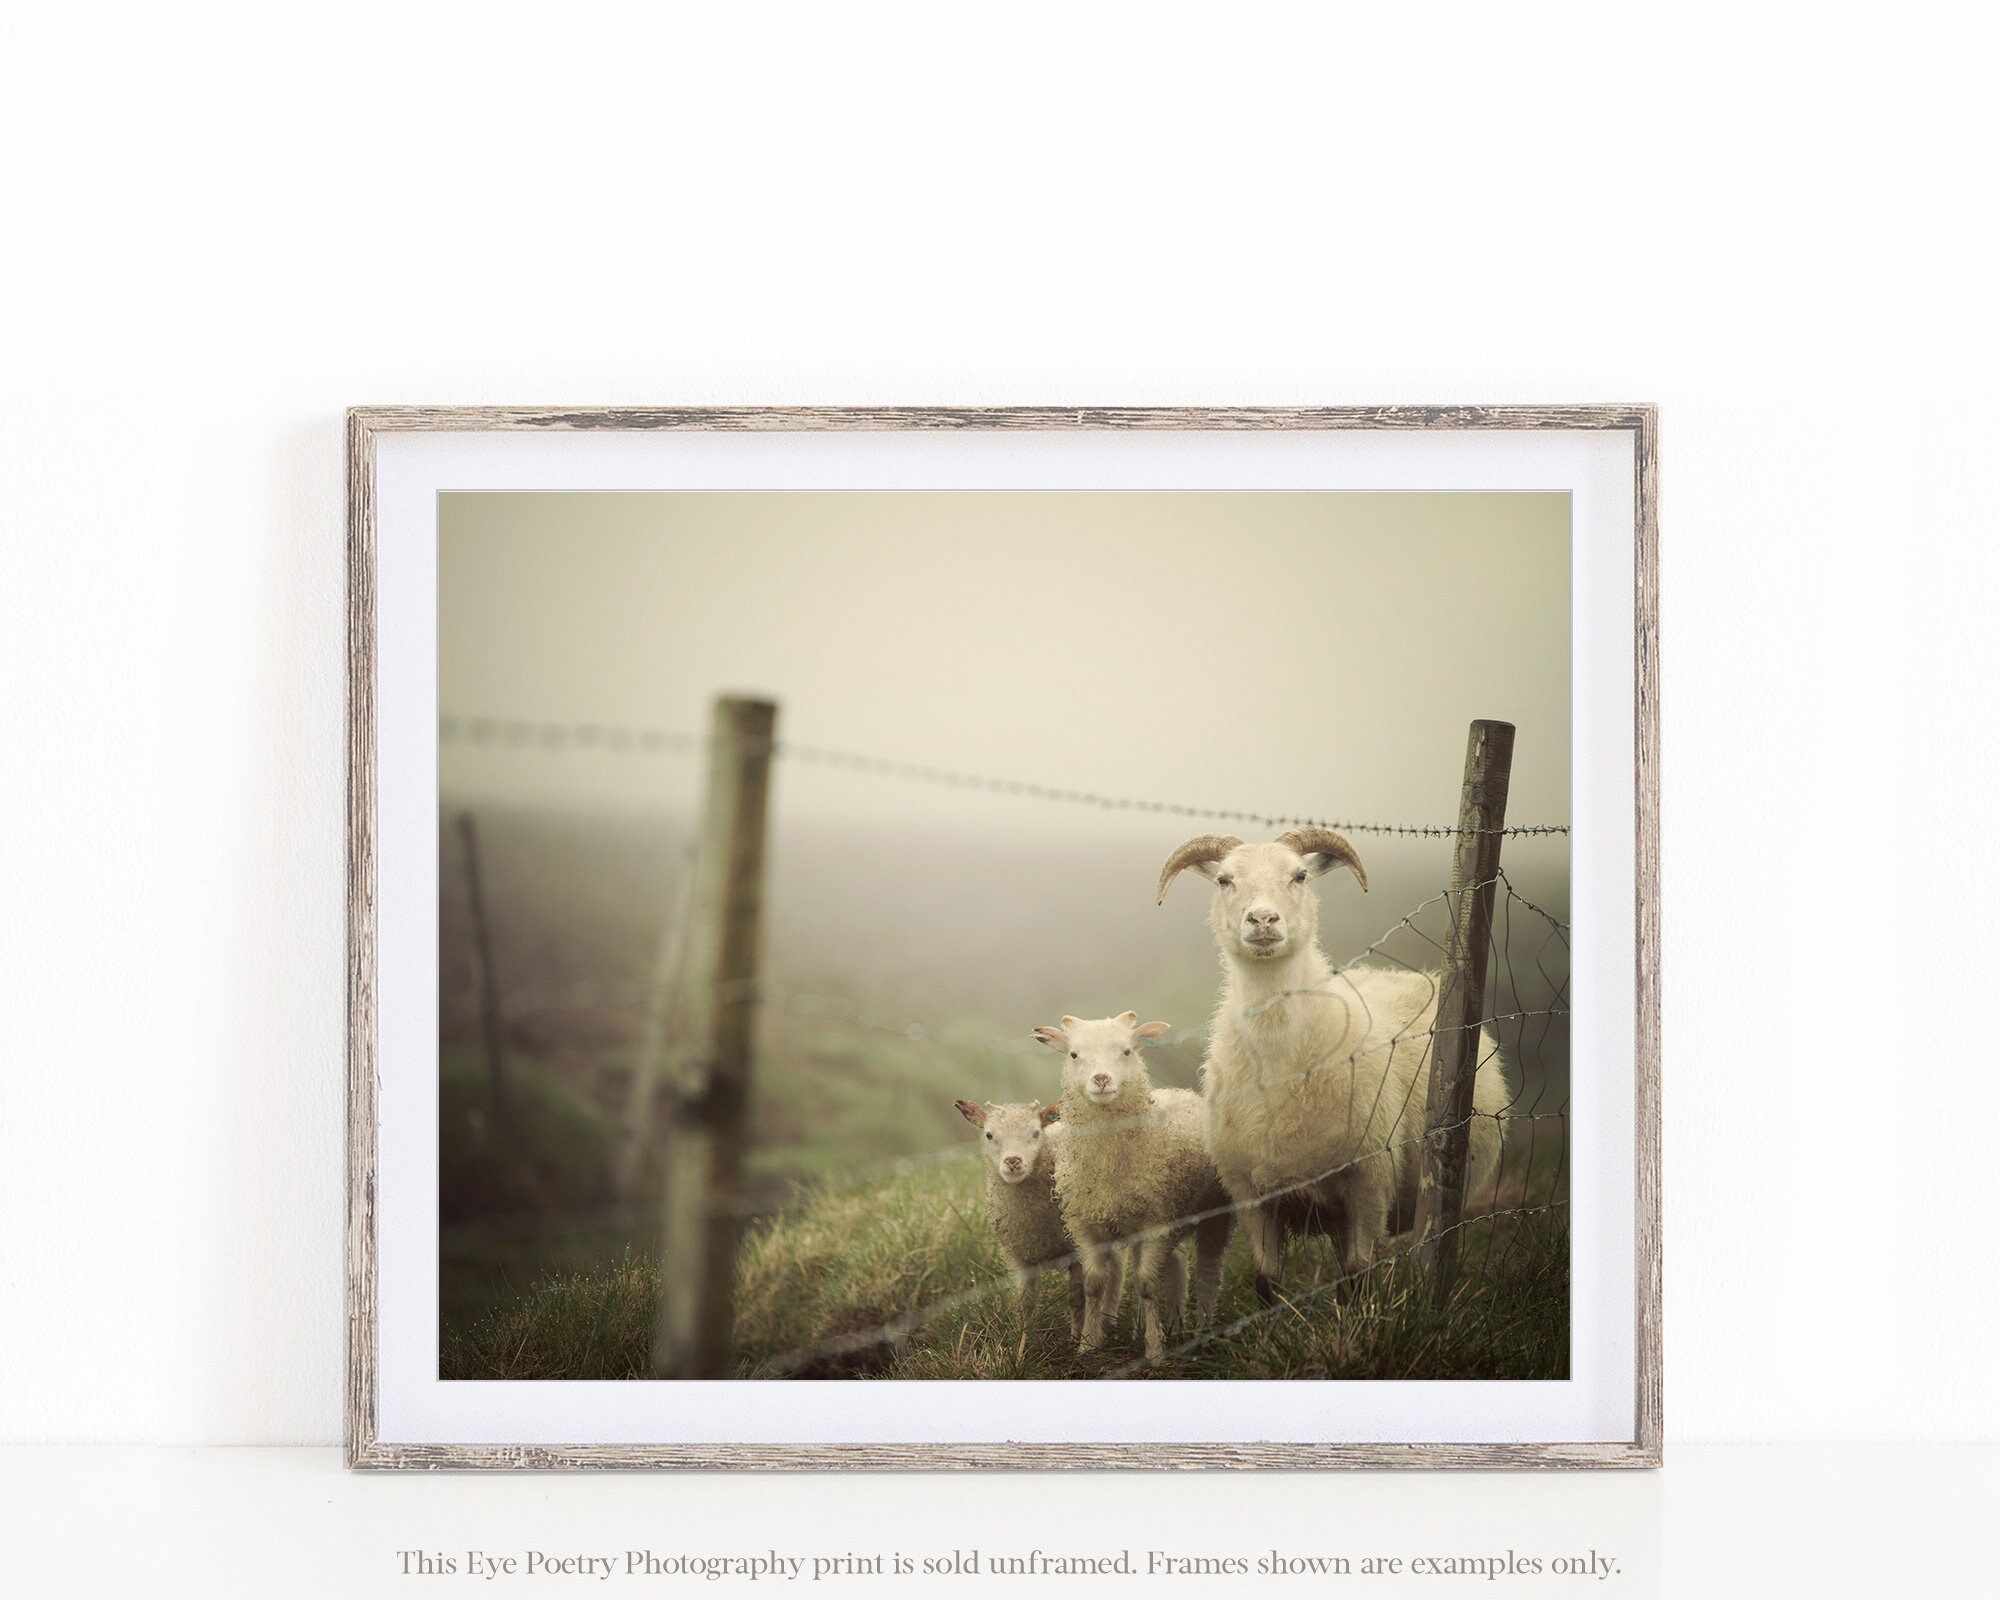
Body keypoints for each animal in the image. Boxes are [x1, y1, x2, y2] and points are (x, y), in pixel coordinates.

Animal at [953, 1098, 1084, 1335]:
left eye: (1036, 1133)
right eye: (989, 1135)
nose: (1013, 1161)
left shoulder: (1077, 1250)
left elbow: (1077, 1298)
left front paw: (1078, 1340)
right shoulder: (1021, 1257)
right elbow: (1024, 1303)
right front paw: (1023, 1339)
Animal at [1031, 1013, 1234, 1359]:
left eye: (1126, 1051)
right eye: (1074, 1054)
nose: (1101, 1079)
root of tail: (1184, 1093)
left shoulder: (1155, 1222)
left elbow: (1147, 1284)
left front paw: (1154, 1350)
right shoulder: (1086, 1224)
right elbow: (1094, 1284)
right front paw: (1088, 1344)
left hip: (1213, 1212)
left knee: (1209, 1270)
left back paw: (1201, 1329)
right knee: (1177, 1260)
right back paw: (1171, 1324)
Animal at [1157, 827, 1510, 1304]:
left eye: (1300, 875)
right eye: (1224, 880)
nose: (1263, 920)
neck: (1281, 1062)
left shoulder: (1369, 1179)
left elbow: (1359, 1273)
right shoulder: (1249, 1191)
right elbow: (1267, 1281)